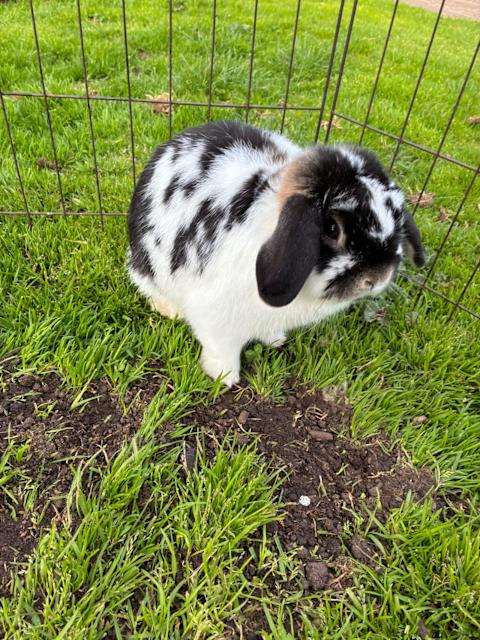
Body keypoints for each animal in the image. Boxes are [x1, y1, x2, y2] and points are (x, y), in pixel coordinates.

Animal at [127, 120, 425, 386]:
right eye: (331, 228)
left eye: (397, 215)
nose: (378, 277)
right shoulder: (214, 317)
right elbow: (221, 349)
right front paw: (225, 377)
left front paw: (275, 340)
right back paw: (170, 310)